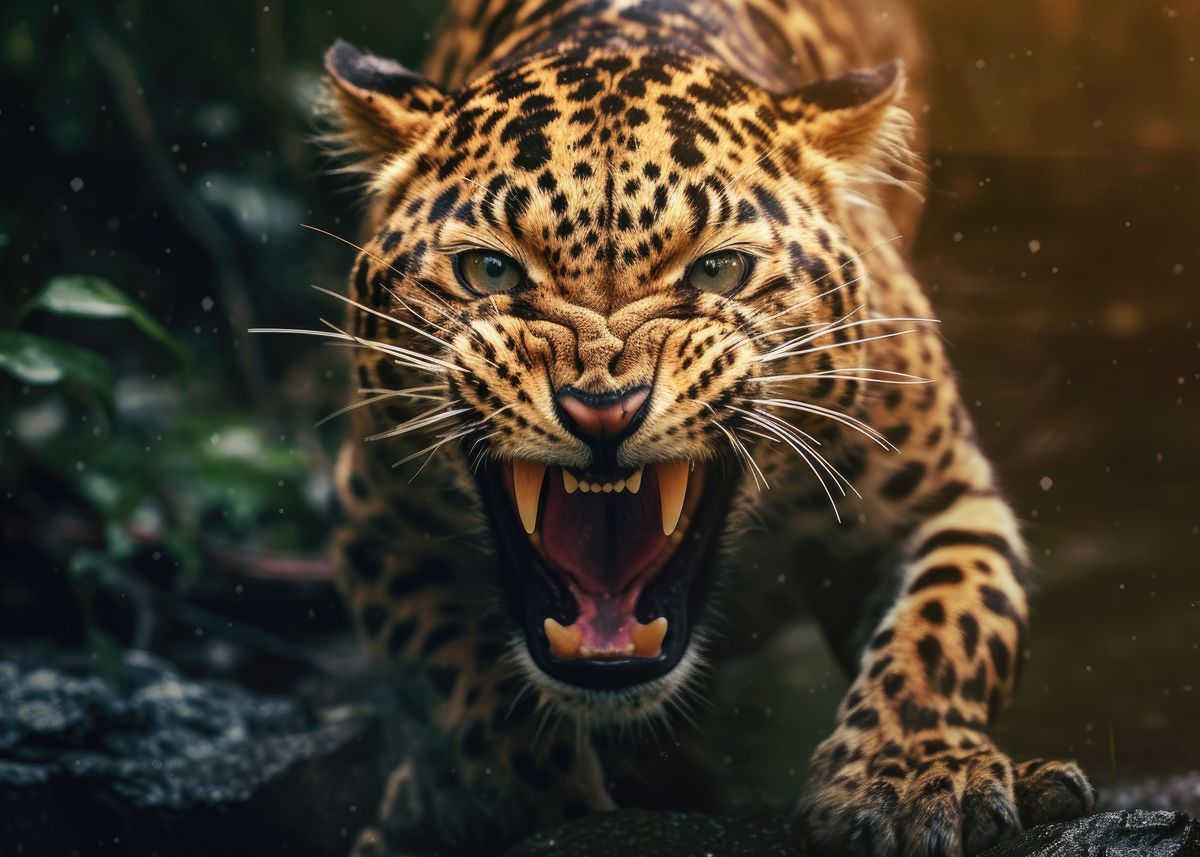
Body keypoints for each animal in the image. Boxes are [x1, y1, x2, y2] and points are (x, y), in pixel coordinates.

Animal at [317, 0, 1095, 854]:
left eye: (719, 270)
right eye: (490, 271)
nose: (603, 406)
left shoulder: (942, 499)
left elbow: (945, 629)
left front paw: (917, 779)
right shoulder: (379, 520)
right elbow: (460, 686)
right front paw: (512, 804)